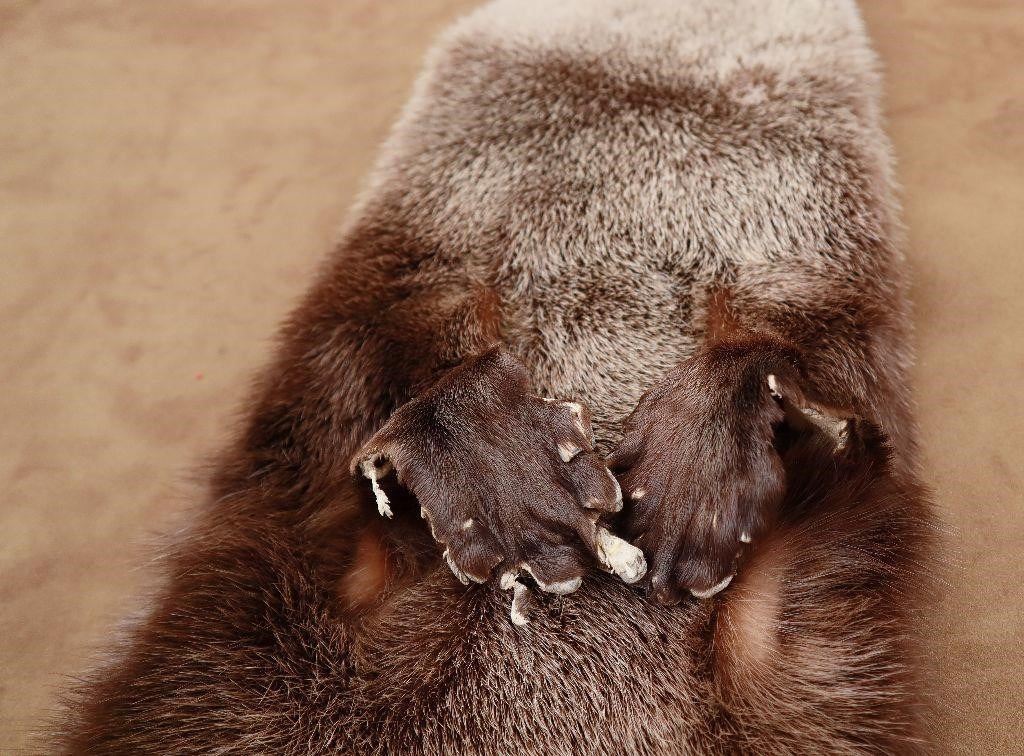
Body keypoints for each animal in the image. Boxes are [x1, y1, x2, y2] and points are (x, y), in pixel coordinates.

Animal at [56, 0, 936, 753]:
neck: (633, 96)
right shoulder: (420, 227)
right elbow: (378, 326)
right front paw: (494, 459)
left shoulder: (813, 233)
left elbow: (814, 333)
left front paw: (707, 441)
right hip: (237, 625)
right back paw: (499, 491)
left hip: (814, 666)